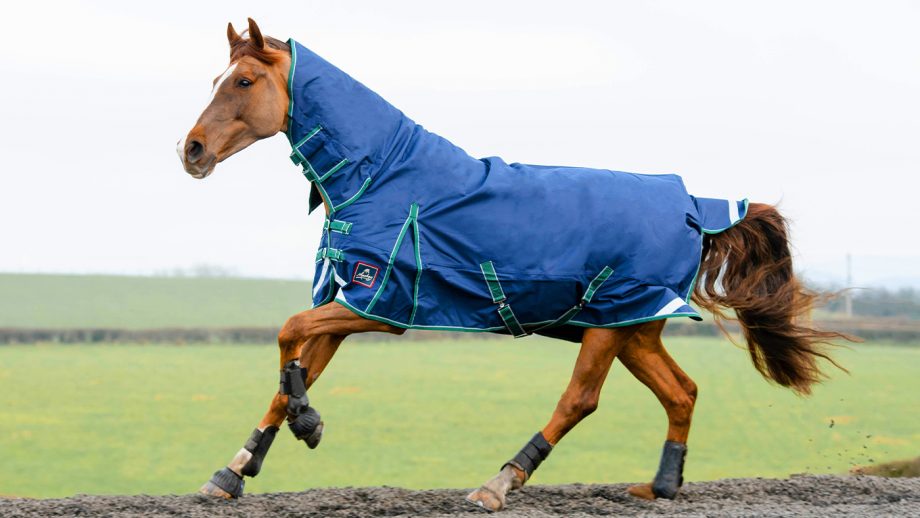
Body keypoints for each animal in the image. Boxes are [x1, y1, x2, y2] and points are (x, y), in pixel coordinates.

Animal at [177, 18, 846, 512]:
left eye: (242, 81)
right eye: (216, 77)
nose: (191, 150)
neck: (384, 175)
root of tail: (692, 206)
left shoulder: (377, 302)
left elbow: (288, 335)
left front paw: (308, 424)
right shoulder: (345, 303)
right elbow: (292, 367)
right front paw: (233, 472)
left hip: (609, 322)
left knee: (580, 399)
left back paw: (498, 484)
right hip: (634, 327)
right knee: (682, 392)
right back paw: (661, 485)